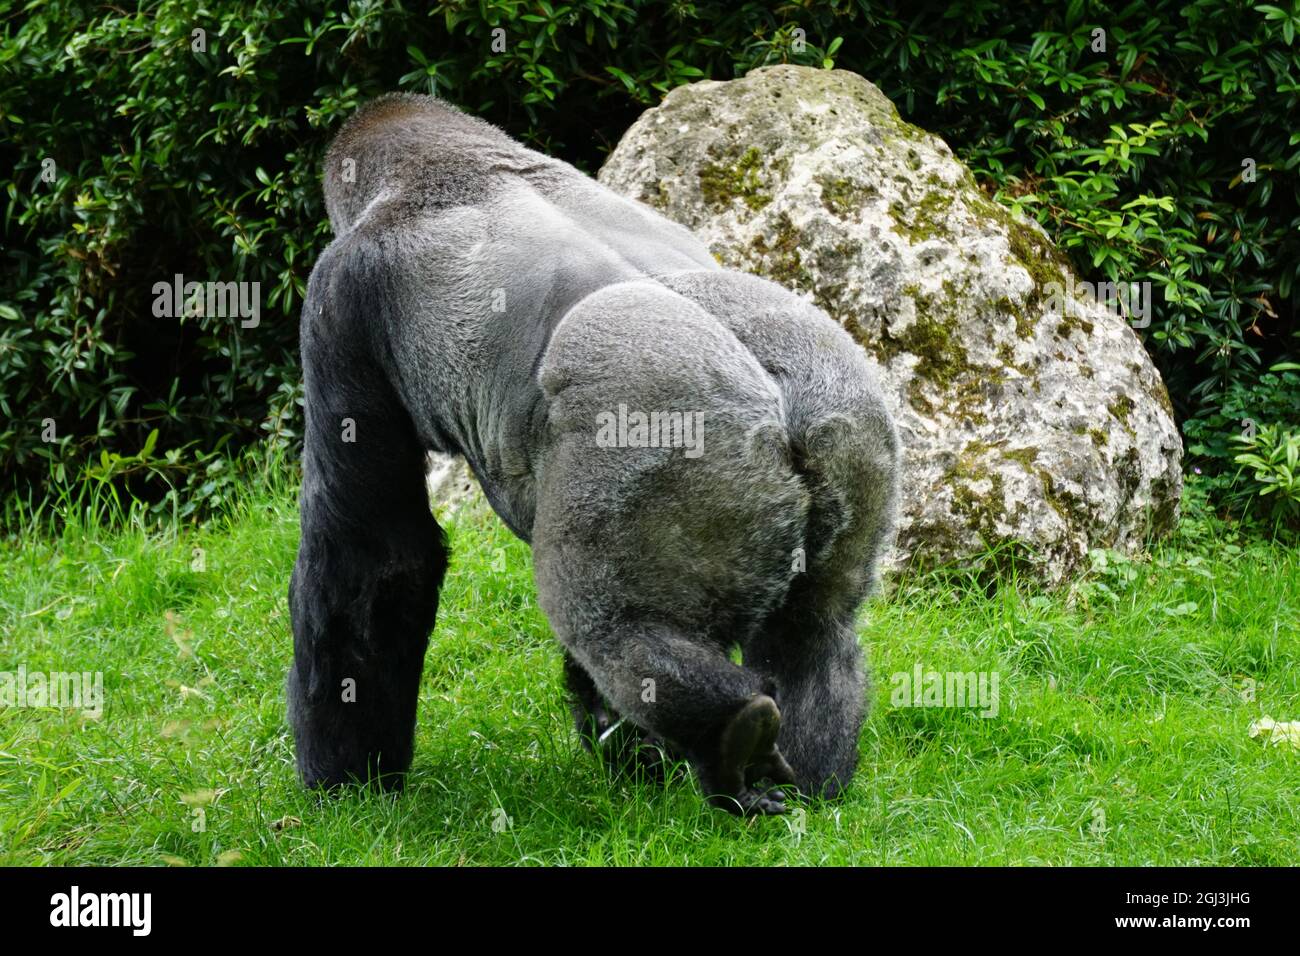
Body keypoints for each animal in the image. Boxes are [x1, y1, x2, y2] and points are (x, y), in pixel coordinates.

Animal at [287, 93, 900, 815]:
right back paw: (809, 782)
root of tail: (779, 392)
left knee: (614, 626)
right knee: (815, 631)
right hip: (849, 423)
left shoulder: (336, 302)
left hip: (666, 430)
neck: (454, 165)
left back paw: (728, 733)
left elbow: (373, 560)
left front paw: (346, 786)